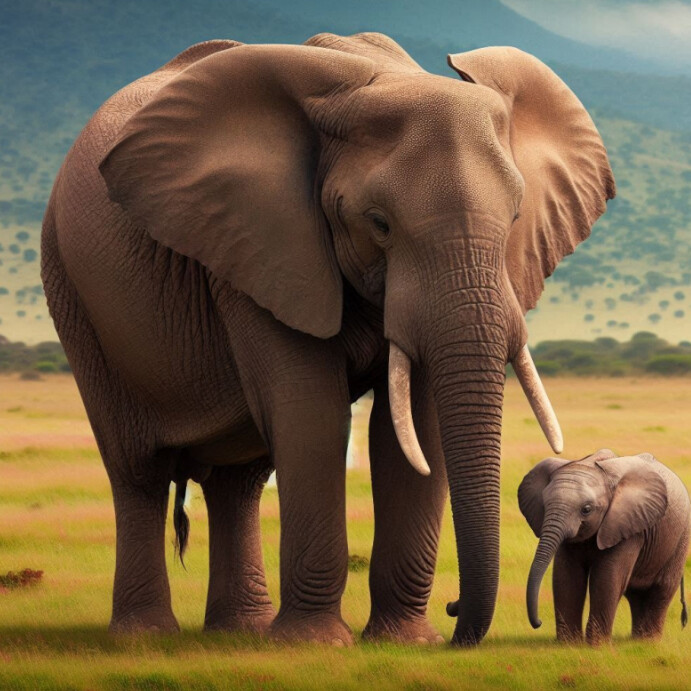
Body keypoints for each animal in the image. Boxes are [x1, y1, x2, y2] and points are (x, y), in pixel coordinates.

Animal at [41, 32, 615, 646]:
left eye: (514, 217)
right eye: (379, 223)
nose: (455, 608)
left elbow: (416, 426)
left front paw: (403, 643)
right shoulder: (263, 243)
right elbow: (312, 416)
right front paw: (314, 644)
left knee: (239, 482)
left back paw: (240, 632)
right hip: (74, 294)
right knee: (139, 473)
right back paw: (147, 637)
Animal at [518, 449, 690, 644]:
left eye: (586, 509)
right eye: (545, 504)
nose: (538, 623)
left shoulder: (628, 527)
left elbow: (606, 578)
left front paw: (596, 646)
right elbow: (567, 576)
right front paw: (569, 644)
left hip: (681, 537)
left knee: (662, 589)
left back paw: (648, 642)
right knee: (636, 594)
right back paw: (637, 641)